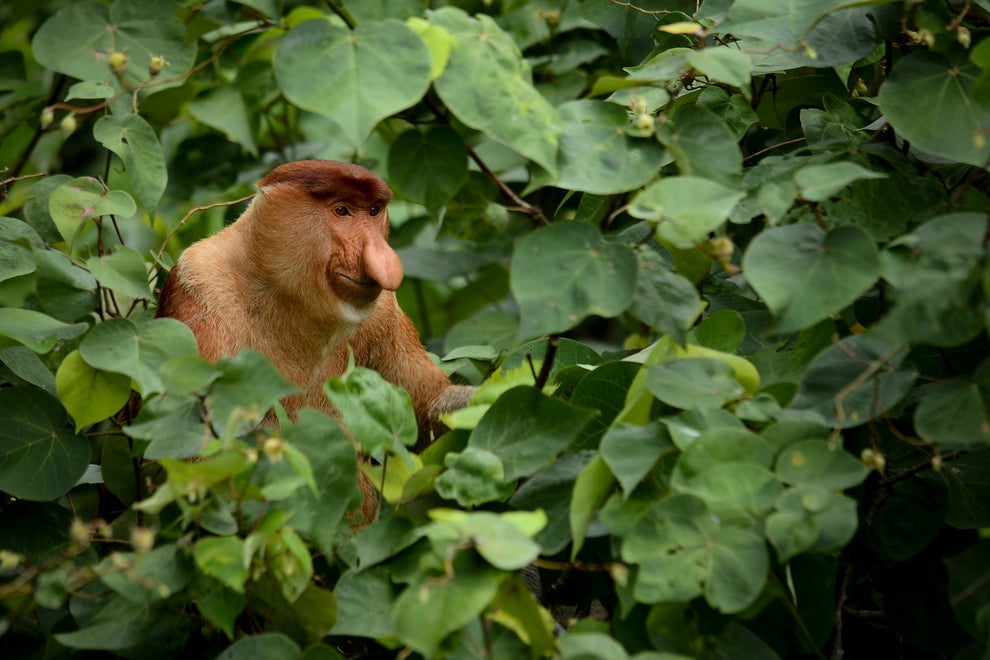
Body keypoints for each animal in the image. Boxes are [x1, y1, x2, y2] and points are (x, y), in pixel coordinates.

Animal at [156, 159, 474, 521]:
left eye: (374, 211)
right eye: (342, 211)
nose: (383, 257)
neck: (284, 292)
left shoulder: (383, 314)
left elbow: (424, 413)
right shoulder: (202, 284)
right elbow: (203, 463)